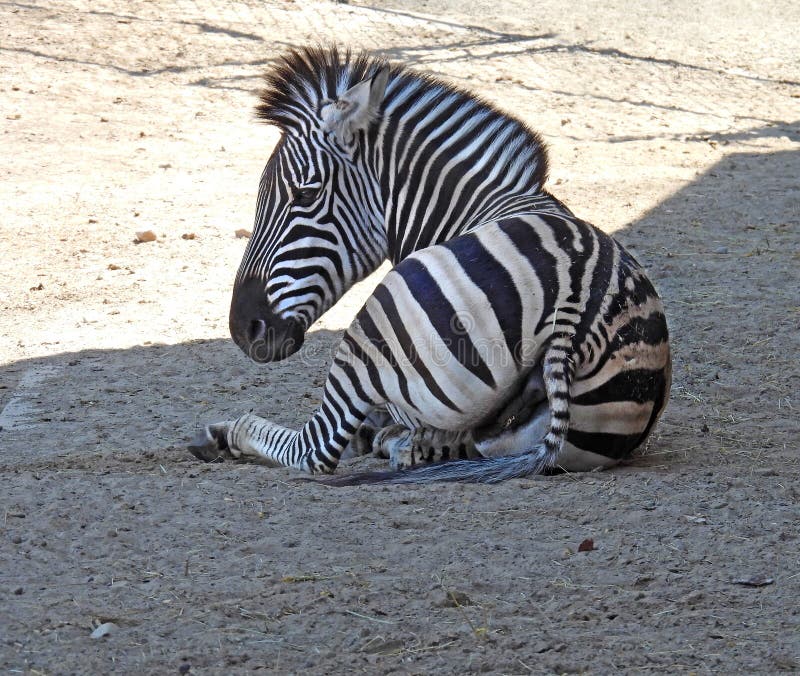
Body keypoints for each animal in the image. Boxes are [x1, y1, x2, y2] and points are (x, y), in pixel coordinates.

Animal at [188, 46, 672, 484]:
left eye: (305, 195)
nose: (243, 328)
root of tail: (574, 307)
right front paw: (398, 440)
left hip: (374, 323)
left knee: (316, 449)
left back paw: (227, 435)